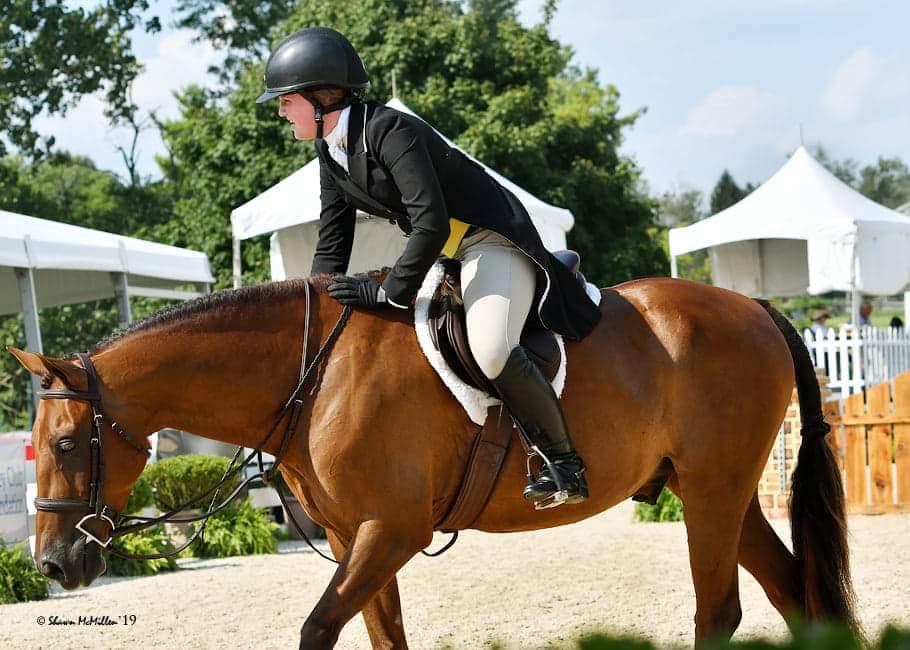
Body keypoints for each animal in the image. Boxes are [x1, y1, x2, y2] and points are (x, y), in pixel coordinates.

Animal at [8, 274, 857, 648]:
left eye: (63, 445)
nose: (51, 564)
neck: (311, 376)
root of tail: (752, 306)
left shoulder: (392, 531)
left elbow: (318, 631)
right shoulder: (356, 539)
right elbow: (383, 637)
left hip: (712, 492)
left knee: (722, 611)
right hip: (720, 491)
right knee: (794, 595)